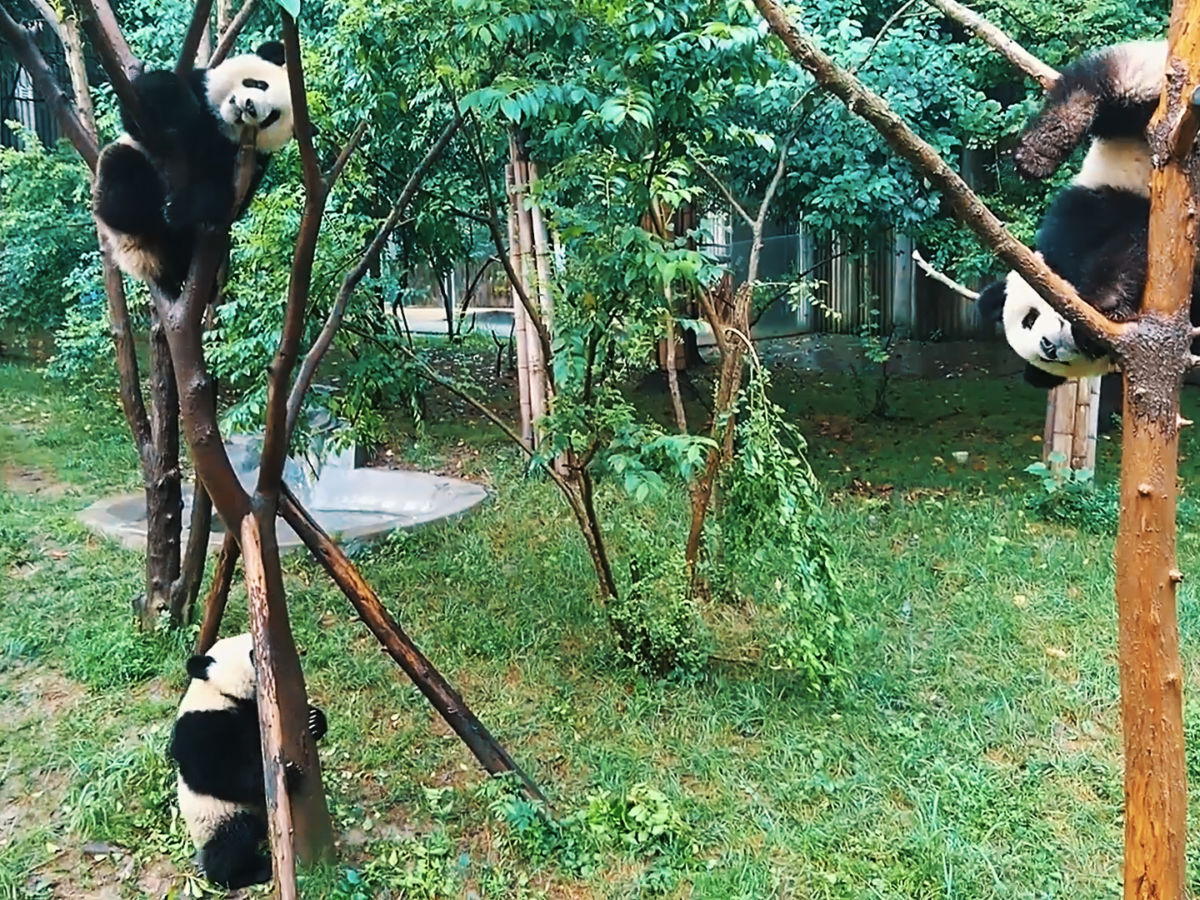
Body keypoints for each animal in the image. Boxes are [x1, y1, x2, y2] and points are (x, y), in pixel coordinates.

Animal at [92, 42, 293, 296]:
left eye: (272, 117)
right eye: (258, 84)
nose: (250, 107)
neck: (219, 124)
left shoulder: (251, 160)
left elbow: (227, 201)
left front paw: (179, 208)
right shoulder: (195, 96)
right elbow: (139, 115)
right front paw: (177, 101)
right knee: (118, 174)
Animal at [169, 633, 327, 890]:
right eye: (254, 654)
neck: (219, 693)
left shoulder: (256, 713)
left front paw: (315, 721)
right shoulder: (201, 726)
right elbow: (219, 773)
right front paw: (287, 776)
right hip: (217, 816)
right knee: (233, 840)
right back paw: (247, 871)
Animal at [976, 40, 1200, 387]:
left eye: (1029, 318)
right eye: (1047, 360)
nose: (1048, 345)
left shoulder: (1090, 213)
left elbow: (1124, 250)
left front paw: (1106, 303)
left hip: (1149, 110)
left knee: (1107, 85)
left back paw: (1039, 152)